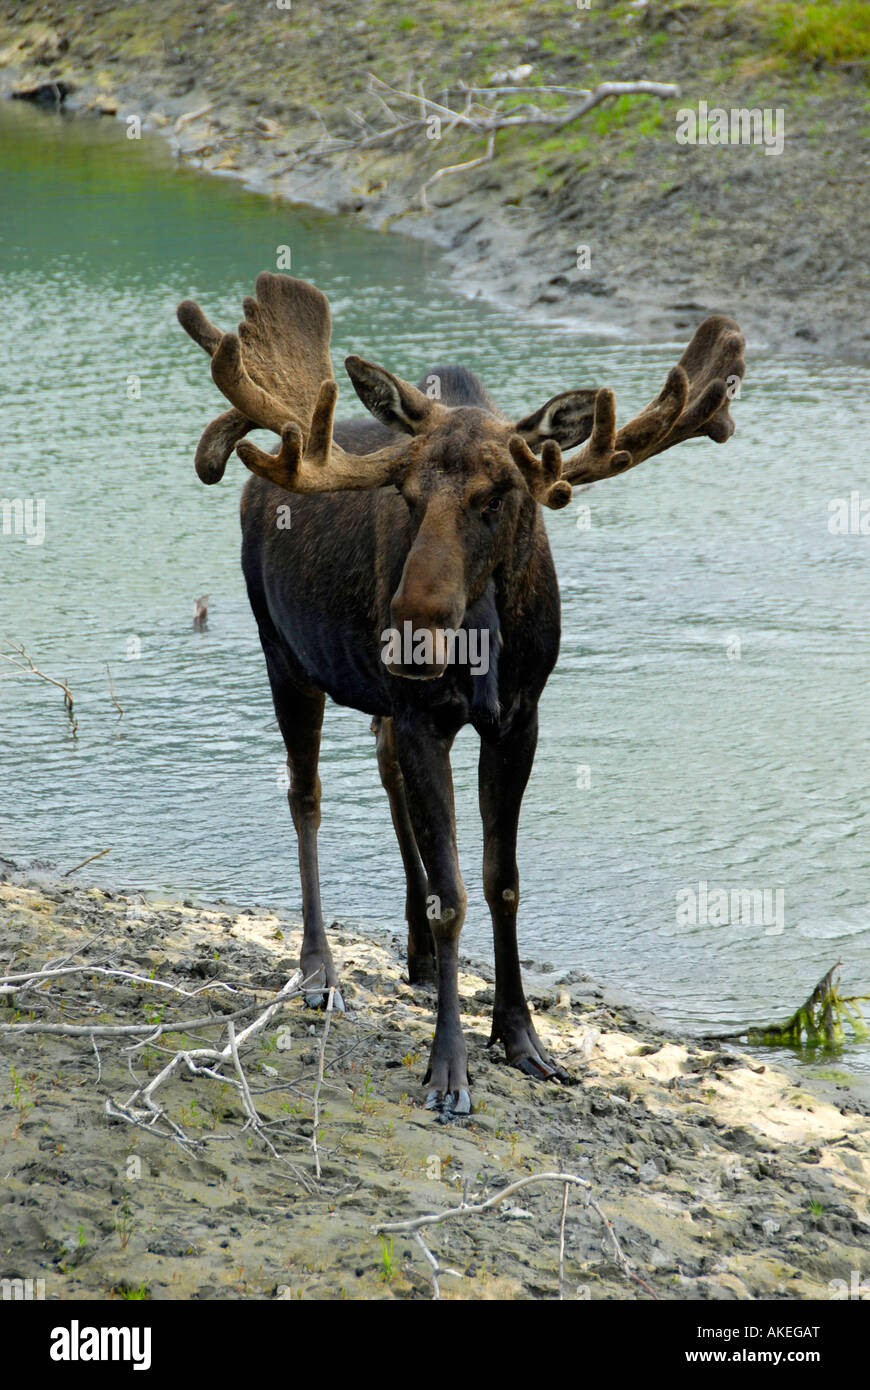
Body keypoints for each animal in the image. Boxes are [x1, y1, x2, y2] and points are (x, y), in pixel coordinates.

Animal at [177, 273, 745, 1118]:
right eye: (407, 495)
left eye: (498, 494)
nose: (414, 623)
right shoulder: (424, 716)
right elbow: (454, 894)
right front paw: (448, 1069)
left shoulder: (517, 718)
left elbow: (500, 881)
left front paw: (522, 1037)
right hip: (283, 653)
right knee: (307, 796)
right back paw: (319, 970)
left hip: (376, 698)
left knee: (382, 775)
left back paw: (409, 951)